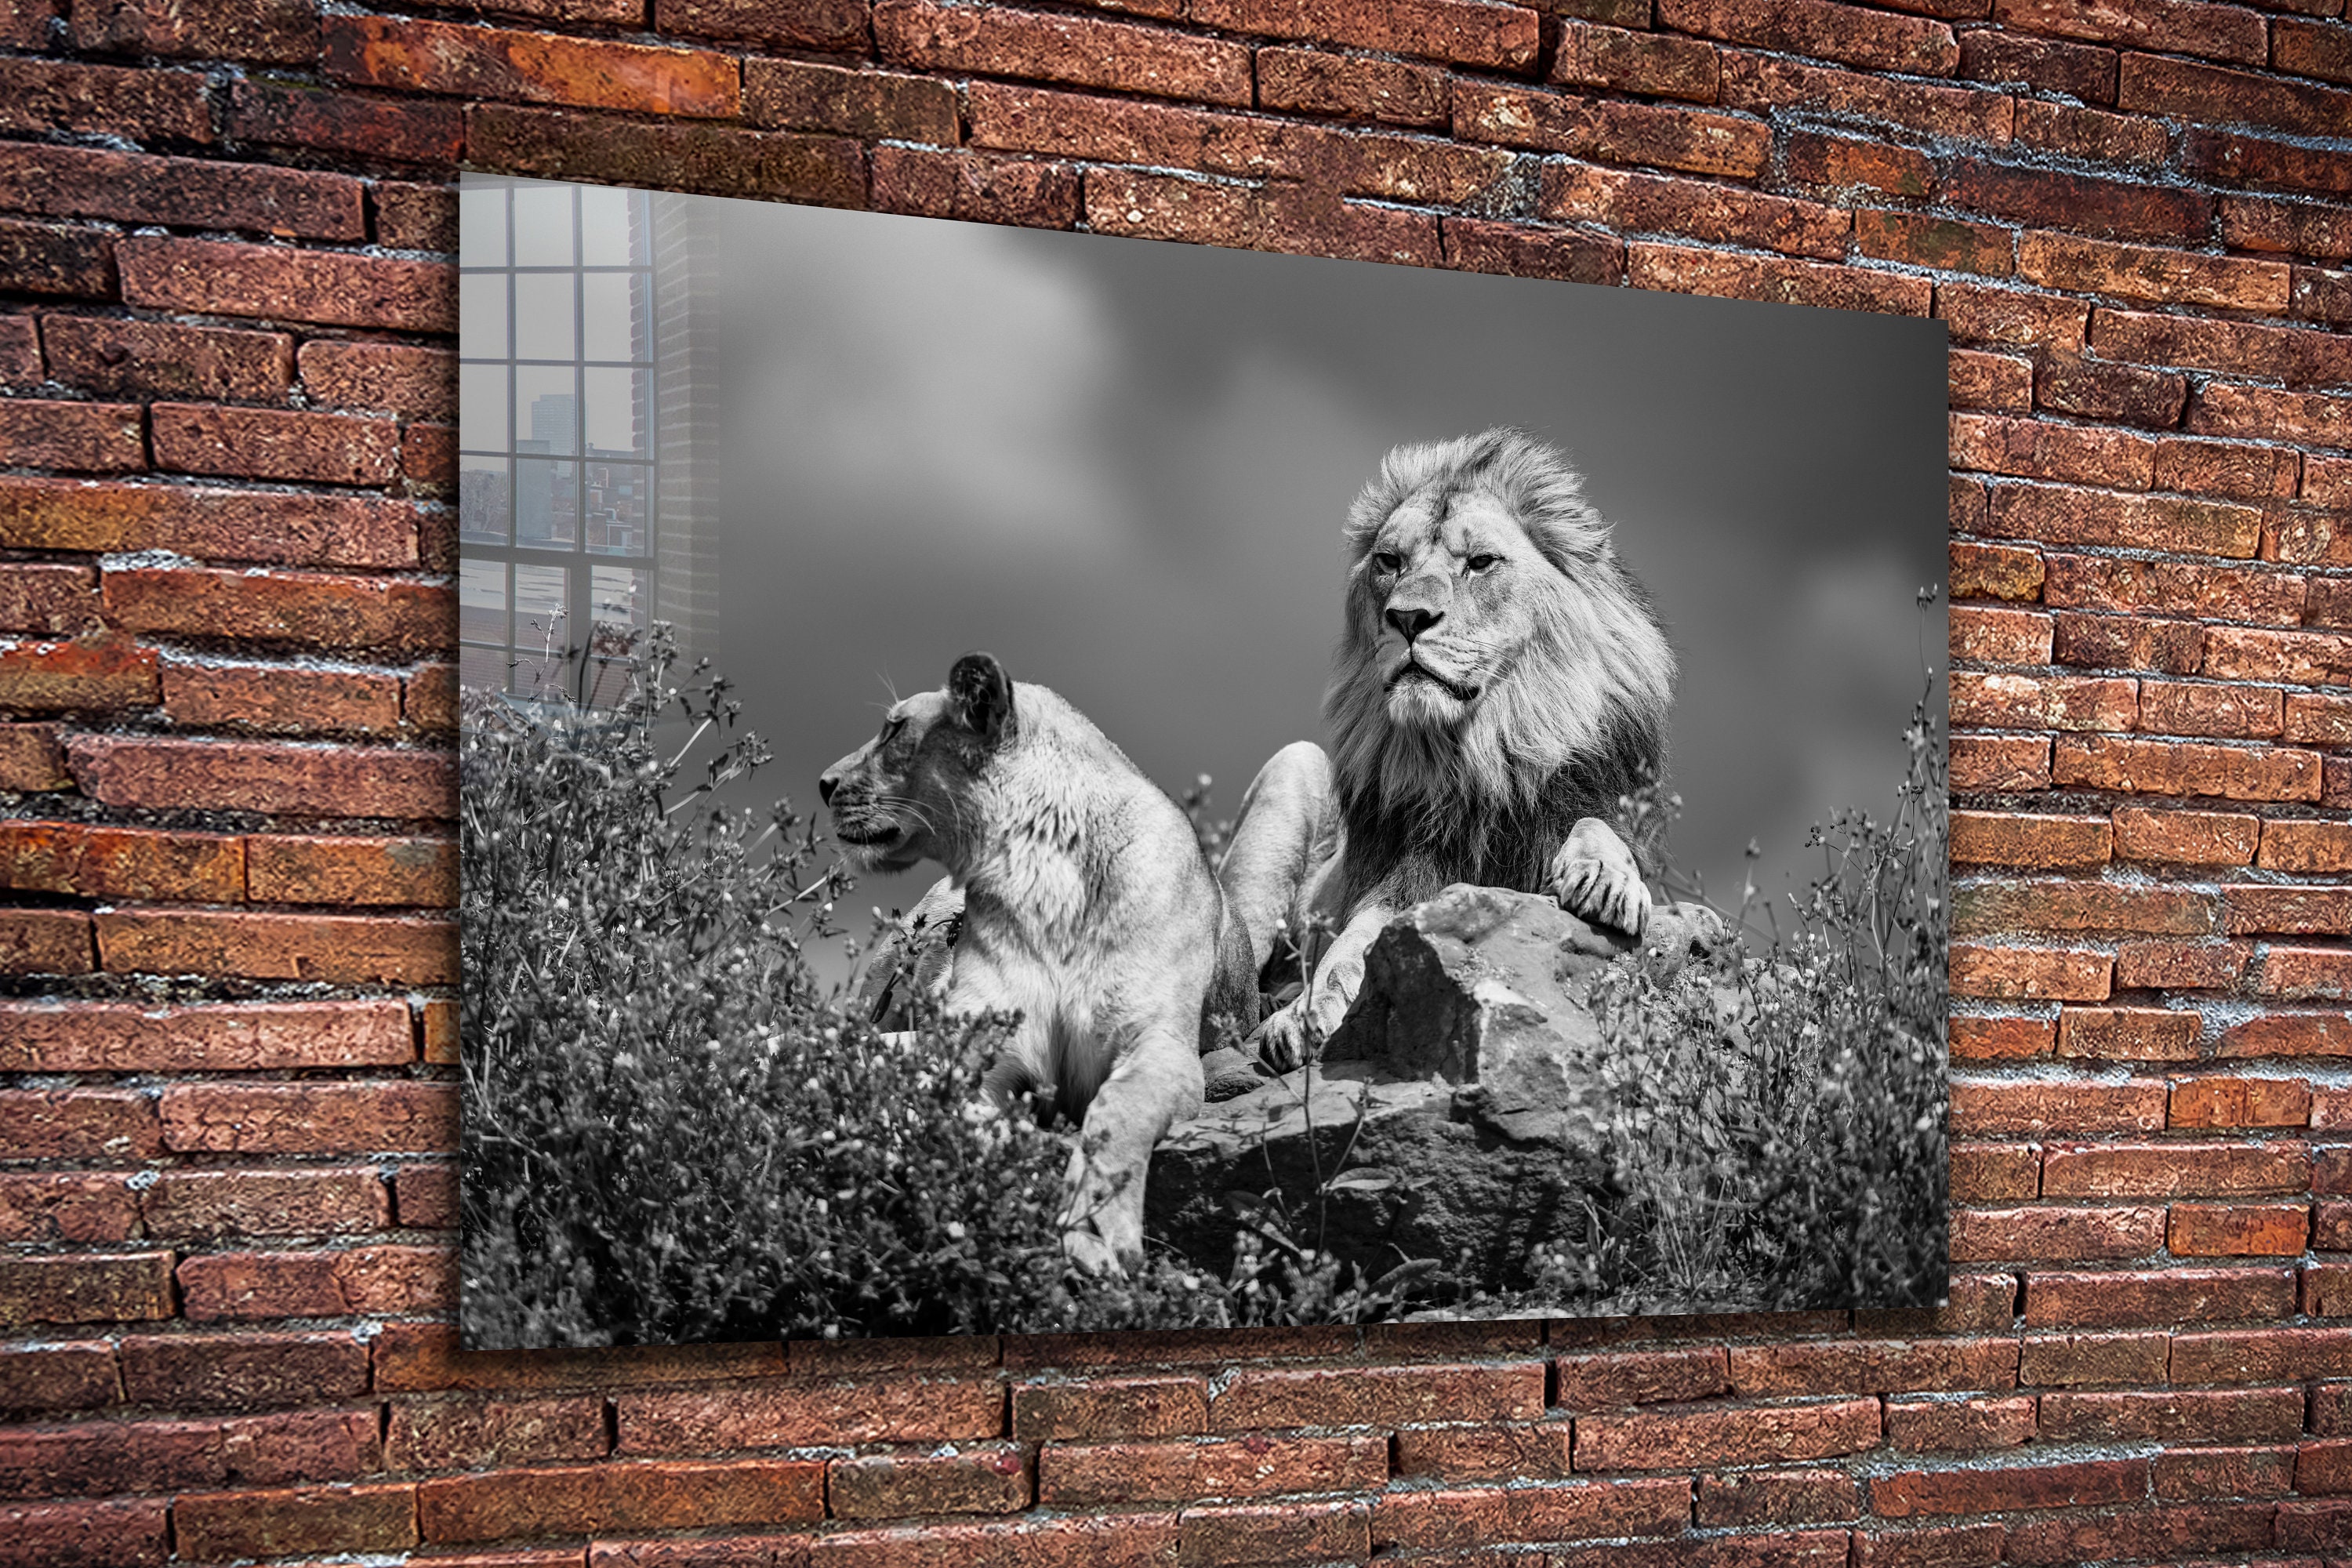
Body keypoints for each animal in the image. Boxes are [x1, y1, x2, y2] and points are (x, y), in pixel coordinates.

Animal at [819, 651, 1258, 1274]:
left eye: (894, 729)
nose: (824, 784)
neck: (1038, 872)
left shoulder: (1161, 1042)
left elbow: (1119, 1110)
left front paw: (1094, 1224)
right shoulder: (982, 1050)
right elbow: (957, 1113)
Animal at [1219, 427, 1676, 1072]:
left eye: (1480, 563)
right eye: (1390, 562)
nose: (1408, 617)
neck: (1483, 756)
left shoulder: (1587, 799)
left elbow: (1597, 826)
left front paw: (1604, 880)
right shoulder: (1403, 877)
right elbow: (1352, 943)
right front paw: (1305, 1013)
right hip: (1294, 767)